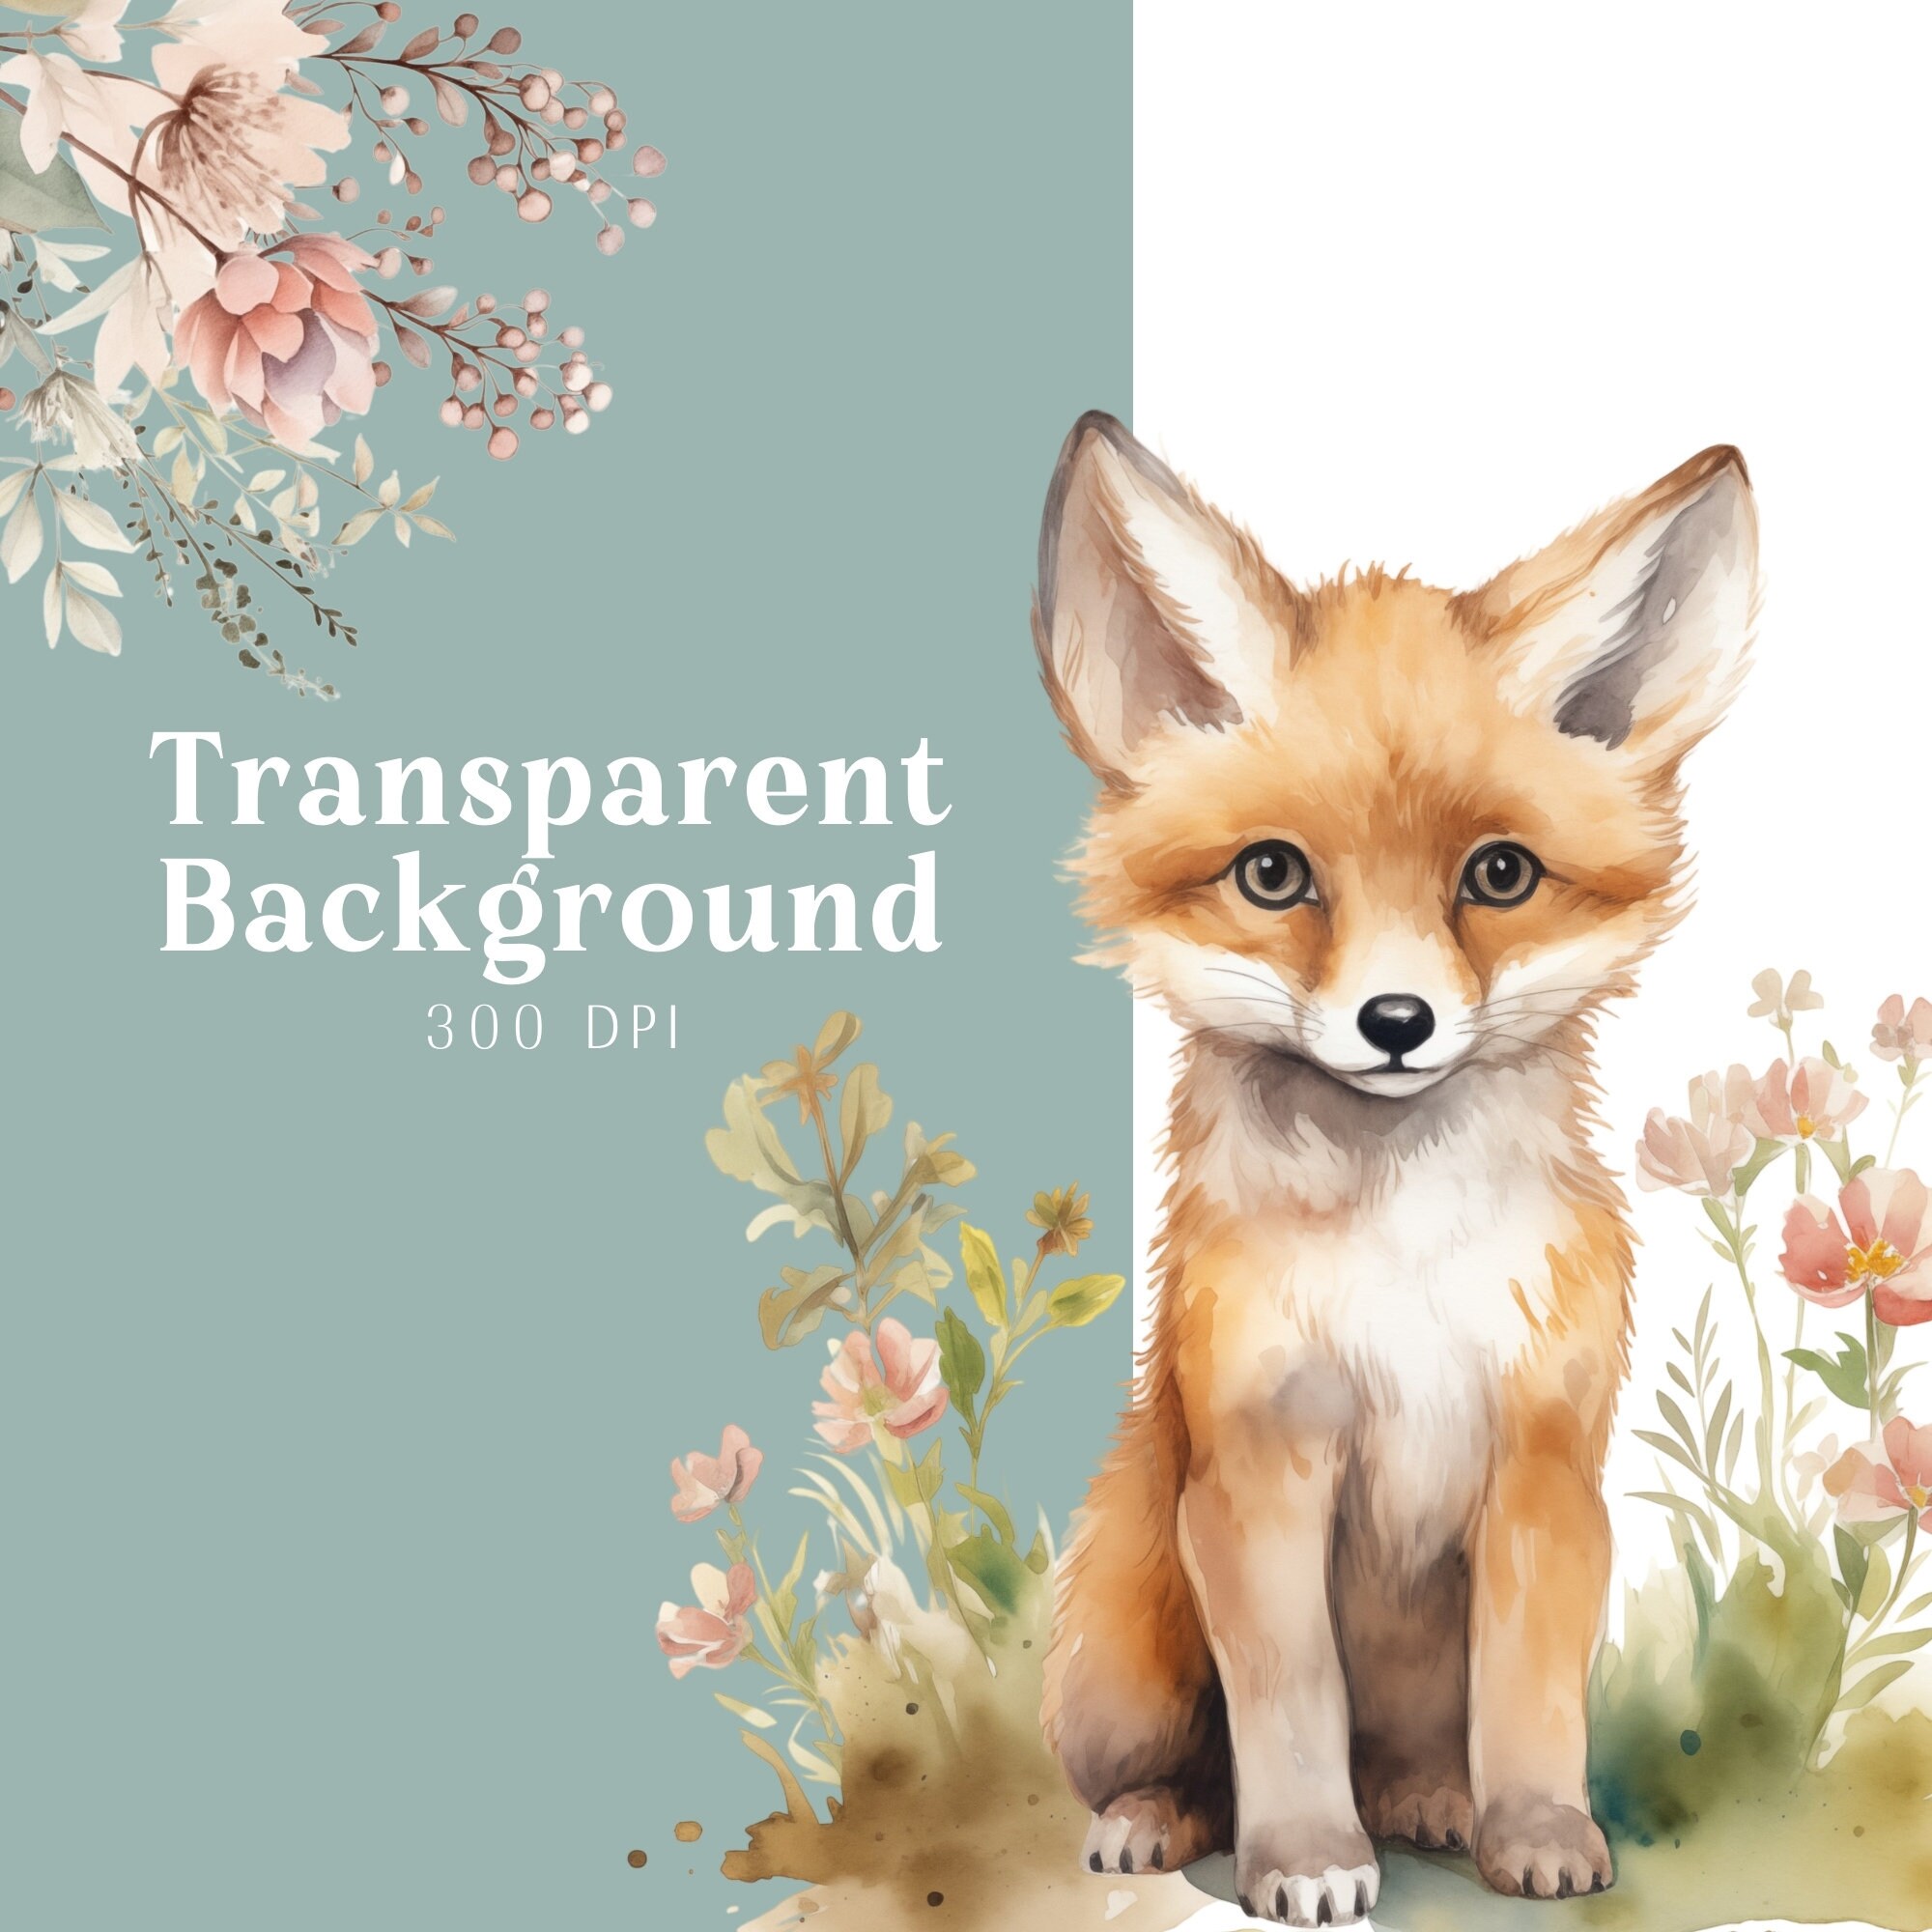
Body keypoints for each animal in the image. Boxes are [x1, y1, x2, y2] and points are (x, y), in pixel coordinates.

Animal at [1033, 413, 1757, 1926]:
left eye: (1498, 875)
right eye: (1271, 875)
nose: (1396, 1023)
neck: (1405, 1261)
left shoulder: (1545, 1466)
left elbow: (1531, 1703)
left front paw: (1536, 1832)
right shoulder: (1260, 1469)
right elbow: (1290, 1707)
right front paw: (1306, 1858)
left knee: (1418, 1755)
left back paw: (1430, 1803)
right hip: (1131, 1639)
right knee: (1192, 1766)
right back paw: (1164, 1818)